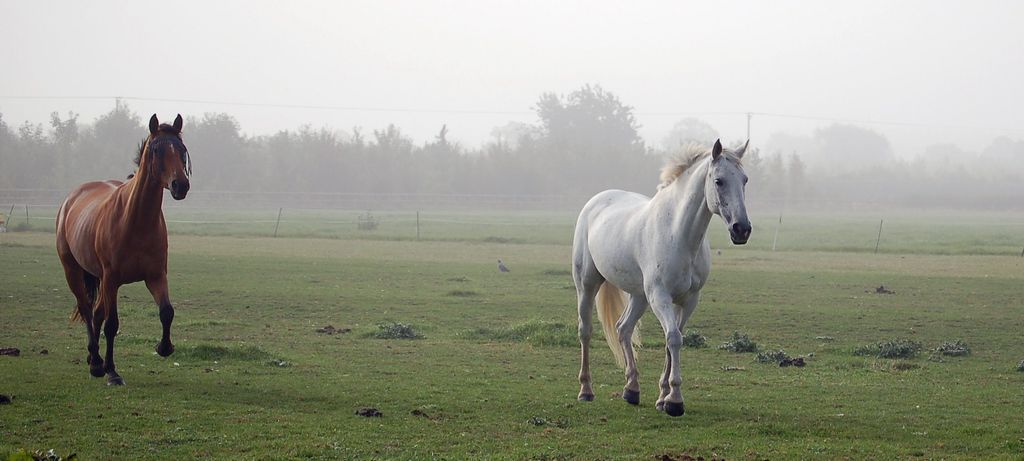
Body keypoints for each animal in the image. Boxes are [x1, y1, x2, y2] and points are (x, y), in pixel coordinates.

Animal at [56, 114, 191, 385]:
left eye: (182, 149)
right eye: (157, 150)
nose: (180, 185)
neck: (135, 222)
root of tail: (72, 198)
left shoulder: (155, 276)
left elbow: (166, 312)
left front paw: (164, 347)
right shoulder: (112, 279)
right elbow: (112, 324)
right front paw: (112, 372)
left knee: (96, 313)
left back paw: (93, 358)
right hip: (73, 272)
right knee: (87, 310)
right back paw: (97, 363)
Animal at [572, 139, 751, 416]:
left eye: (744, 180)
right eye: (719, 181)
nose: (742, 229)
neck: (678, 233)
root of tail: (596, 201)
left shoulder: (688, 300)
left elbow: (672, 340)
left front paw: (663, 397)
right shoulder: (660, 297)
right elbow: (674, 339)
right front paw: (675, 400)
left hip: (639, 296)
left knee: (623, 329)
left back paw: (632, 389)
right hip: (588, 284)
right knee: (586, 331)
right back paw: (586, 390)